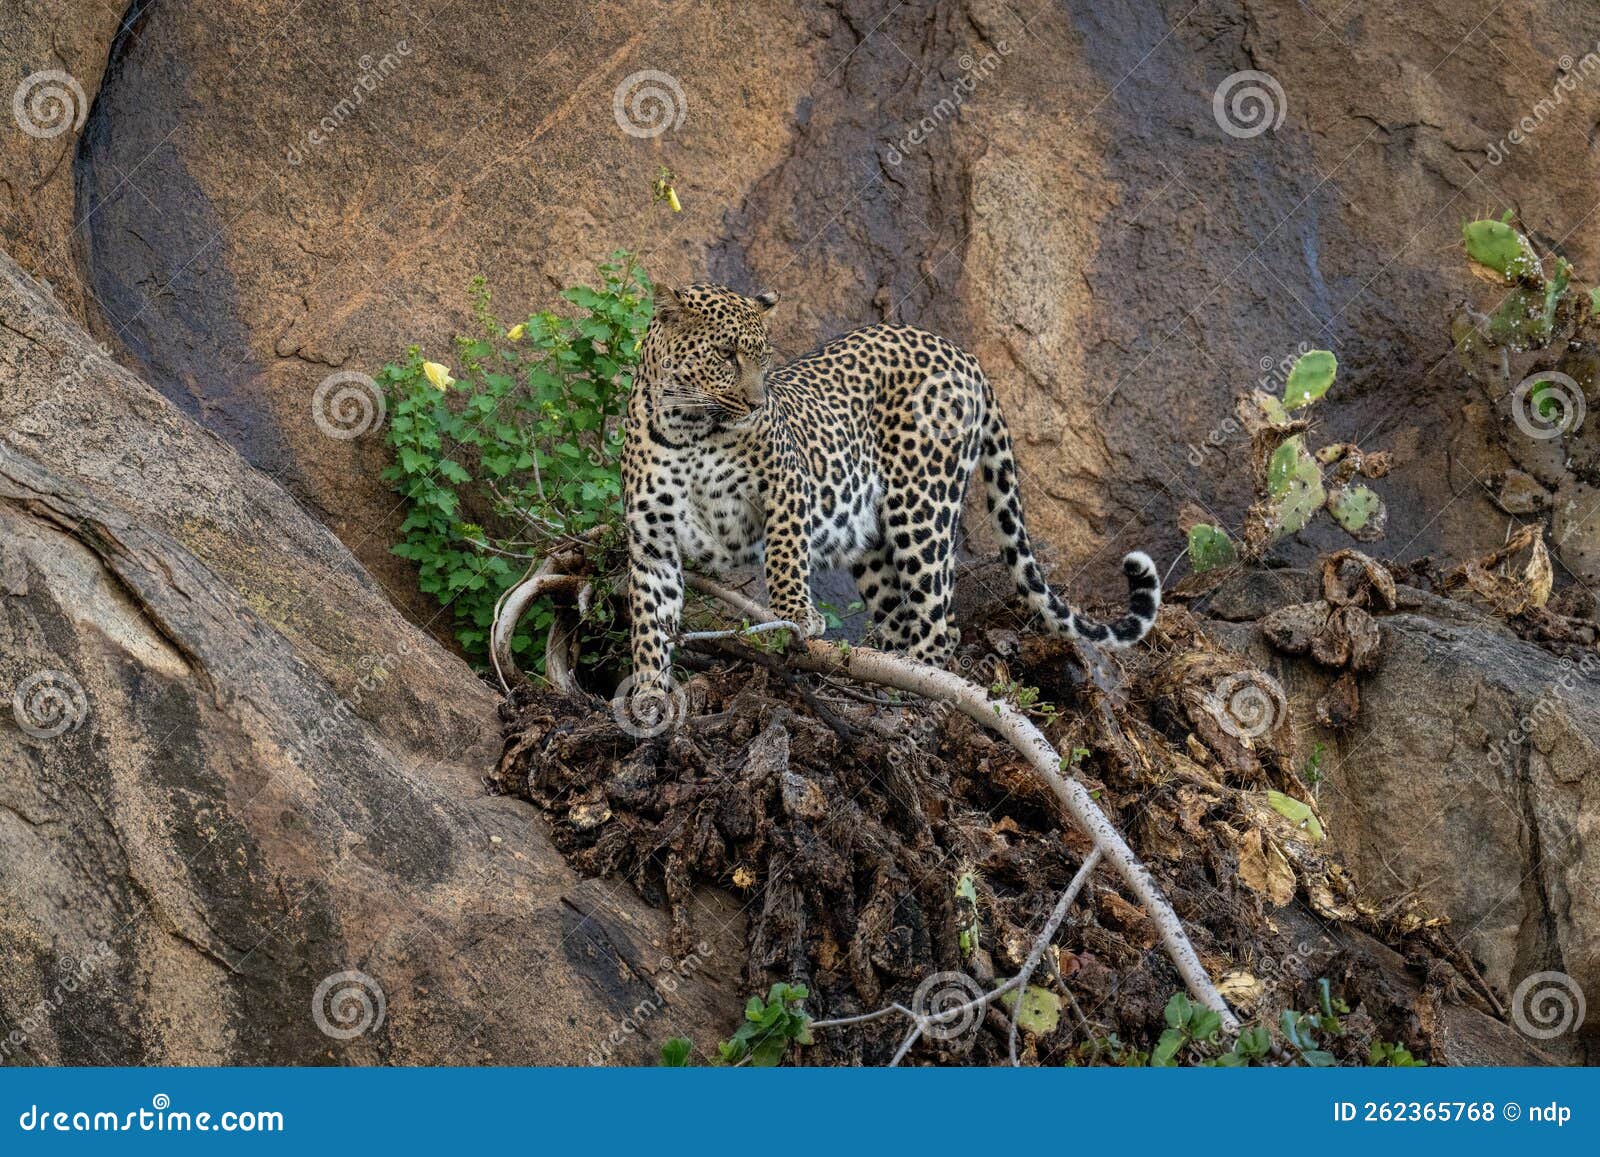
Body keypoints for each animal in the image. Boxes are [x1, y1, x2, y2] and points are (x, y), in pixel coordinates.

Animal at [620, 282, 1161, 704]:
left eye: (763, 358)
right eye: (725, 356)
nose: (756, 403)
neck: (690, 430)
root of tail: (964, 354)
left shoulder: (786, 488)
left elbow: (784, 558)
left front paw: (796, 616)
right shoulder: (652, 542)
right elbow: (649, 621)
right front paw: (649, 696)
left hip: (922, 504)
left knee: (943, 623)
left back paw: (906, 679)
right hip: (874, 539)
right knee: (903, 614)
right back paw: (883, 660)